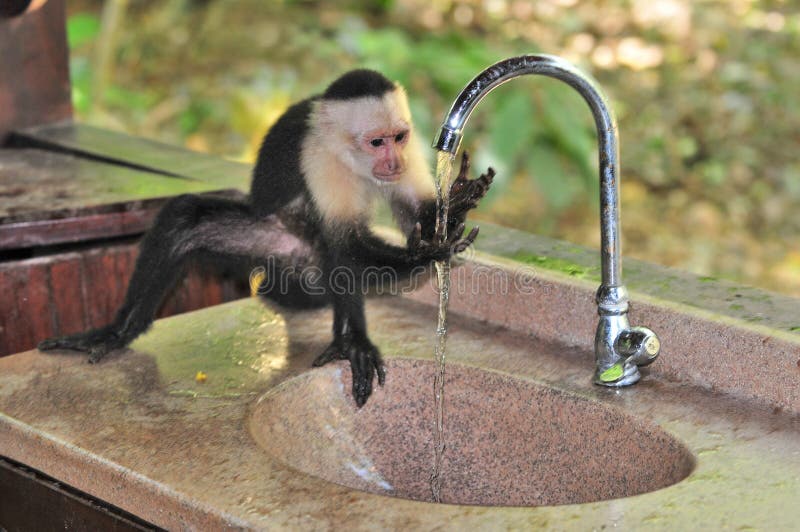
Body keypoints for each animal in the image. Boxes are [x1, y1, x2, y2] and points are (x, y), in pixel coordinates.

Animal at [38, 69, 495, 406]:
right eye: (375, 141)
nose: (392, 161)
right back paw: (118, 332)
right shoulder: (318, 158)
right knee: (193, 222)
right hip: (279, 245)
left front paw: (455, 206)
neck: (352, 161)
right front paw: (427, 254)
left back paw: (348, 338)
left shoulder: (412, 154)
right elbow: (346, 244)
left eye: (398, 138)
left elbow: (415, 215)